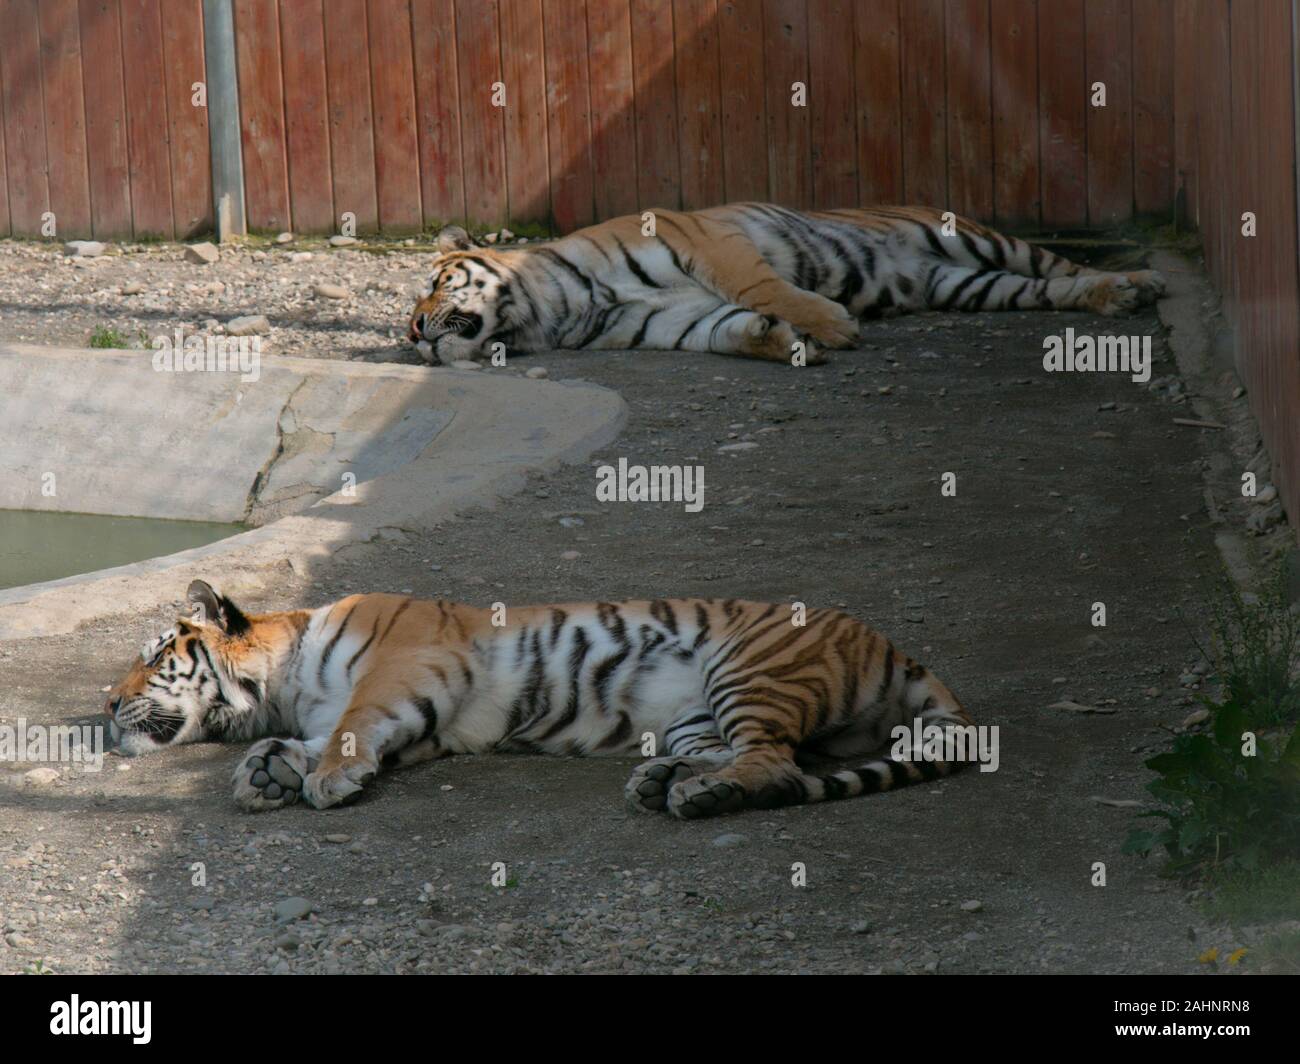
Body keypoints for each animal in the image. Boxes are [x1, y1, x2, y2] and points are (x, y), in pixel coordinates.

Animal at [104, 580, 976, 819]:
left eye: (153, 655)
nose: (106, 705)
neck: (284, 684)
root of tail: (896, 648)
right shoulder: (422, 723)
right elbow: (320, 739)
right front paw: (267, 770)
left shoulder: (407, 663)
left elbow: (353, 725)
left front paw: (317, 779)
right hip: (698, 714)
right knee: (768, 760)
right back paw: (674, 785)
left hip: (747, 667)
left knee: (778, 766)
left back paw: (695, 796)